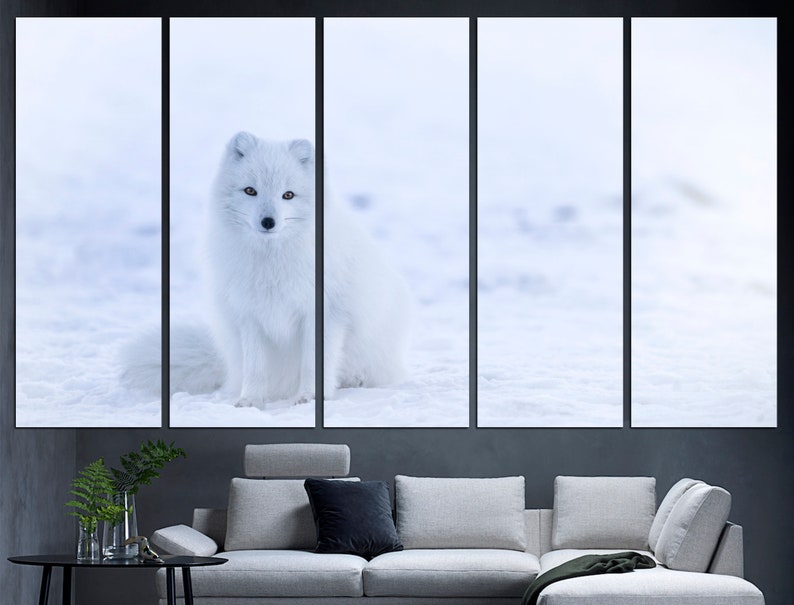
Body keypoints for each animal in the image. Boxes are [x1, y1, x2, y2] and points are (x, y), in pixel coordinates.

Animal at [121, 132, 412, 408]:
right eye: (250, 191)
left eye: (288, 195)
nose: (268, 221)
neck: (271, 263)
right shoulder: (249, 314)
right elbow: (256, 367)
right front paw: (250, 401)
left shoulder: (322, 313)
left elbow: (314, 363)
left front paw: (310, 397)